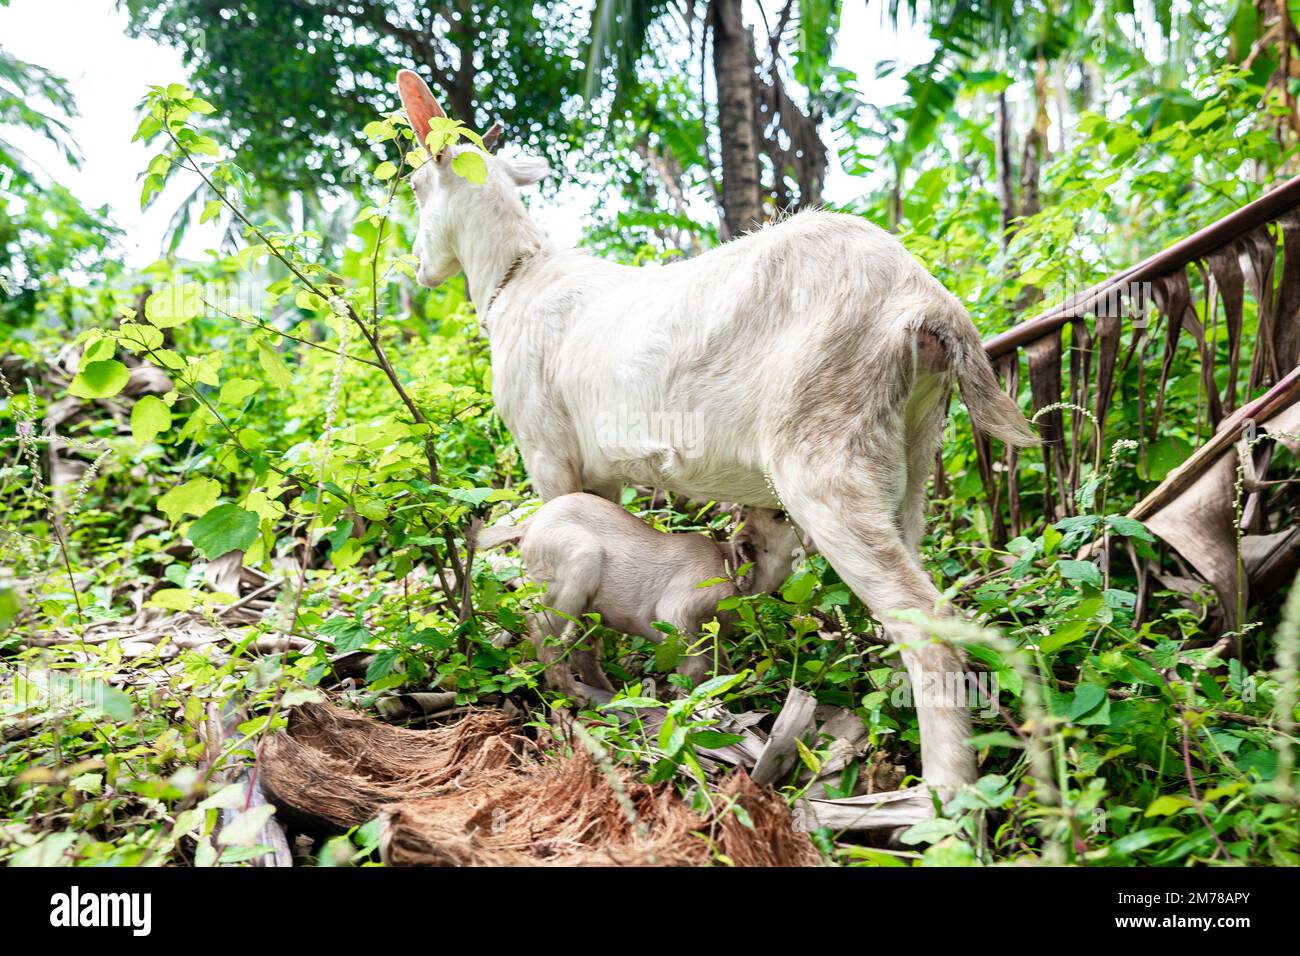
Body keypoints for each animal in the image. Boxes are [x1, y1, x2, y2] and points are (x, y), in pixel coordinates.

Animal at [477, 493, 802, 695]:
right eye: (778, 515)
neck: (728, 568)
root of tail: (527, 525)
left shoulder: (712, 631)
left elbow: (721, 666)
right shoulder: (675, 612)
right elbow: (695, 666)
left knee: (581, 648)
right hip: (578, 568)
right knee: (542, 628)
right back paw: (571, 693)